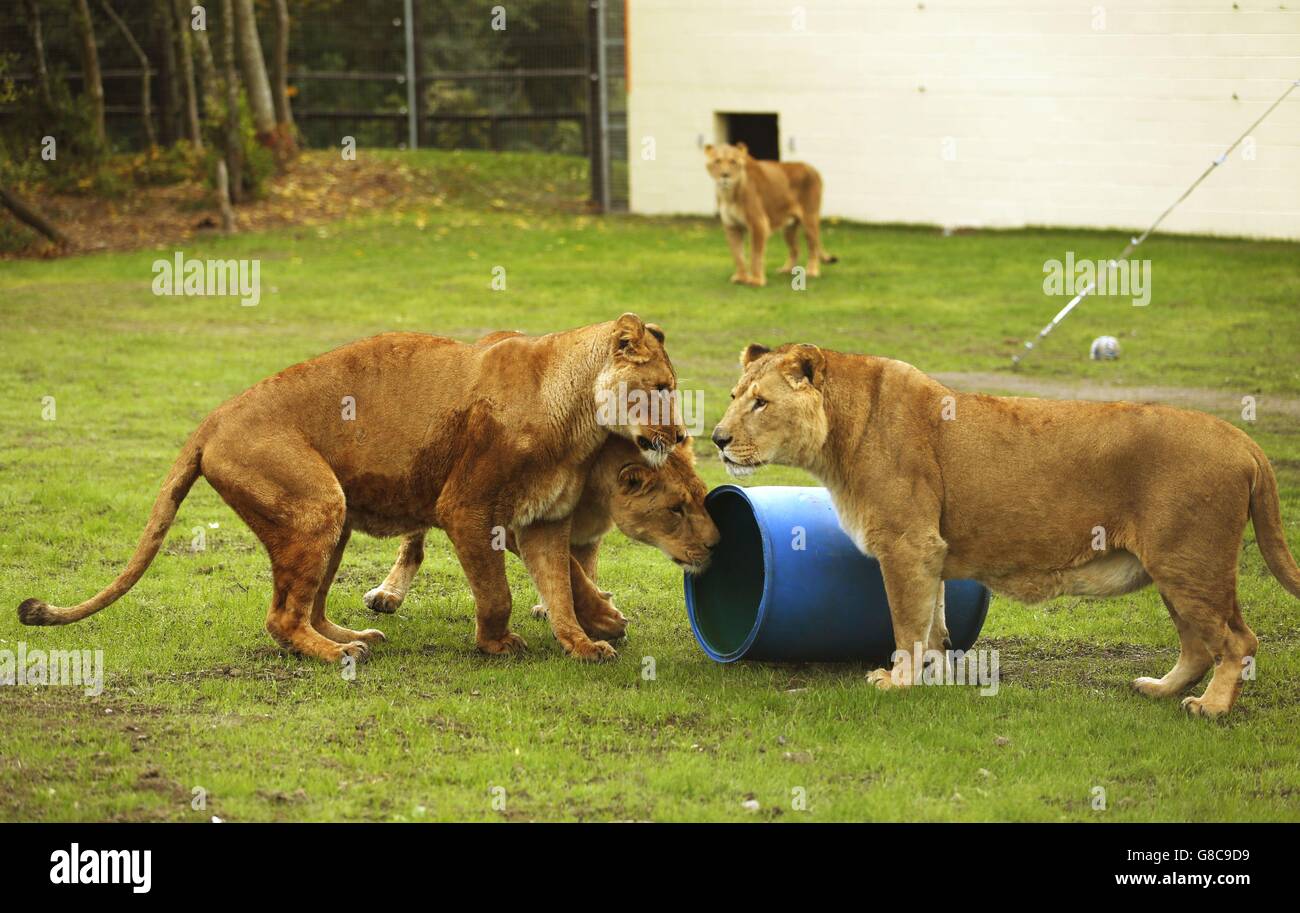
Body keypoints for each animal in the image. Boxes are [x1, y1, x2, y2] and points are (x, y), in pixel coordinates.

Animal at [364, 435, 720, 642]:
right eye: (675, 509)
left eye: (703, 499)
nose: (714, 544)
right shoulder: (506, 518)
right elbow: (572, 572)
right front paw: (604, 619)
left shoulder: (589, 531)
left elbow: (578, 570)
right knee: (413, 542)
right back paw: (388, 593)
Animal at [704, 141, 836, 287]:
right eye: (717, 161)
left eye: (733, 162)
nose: (725, 175)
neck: (729, 193)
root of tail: (811, 167)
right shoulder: (731, 226)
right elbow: (737, 255)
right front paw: (740, 277)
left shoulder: (758, 224)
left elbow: (755, 254)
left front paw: (756, 280)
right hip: (788, 228)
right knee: (796, 249)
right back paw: (786, 270)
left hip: (809, 219)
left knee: (813, 247)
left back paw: (812, 271)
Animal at [711, 343, 1300, 718]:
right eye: (735, 395)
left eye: (761, 402)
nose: (716, 438)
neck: (842, 431)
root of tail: (1243, 441)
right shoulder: (929, 551)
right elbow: (934, 619)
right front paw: (933, 670)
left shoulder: (907, 544)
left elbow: (905, 623)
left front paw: (898, 682)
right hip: (1177, 571)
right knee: (1201, 645)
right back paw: (1159, 689)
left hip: (1190, 564)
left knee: (1238, 640)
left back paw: (1212, 709)